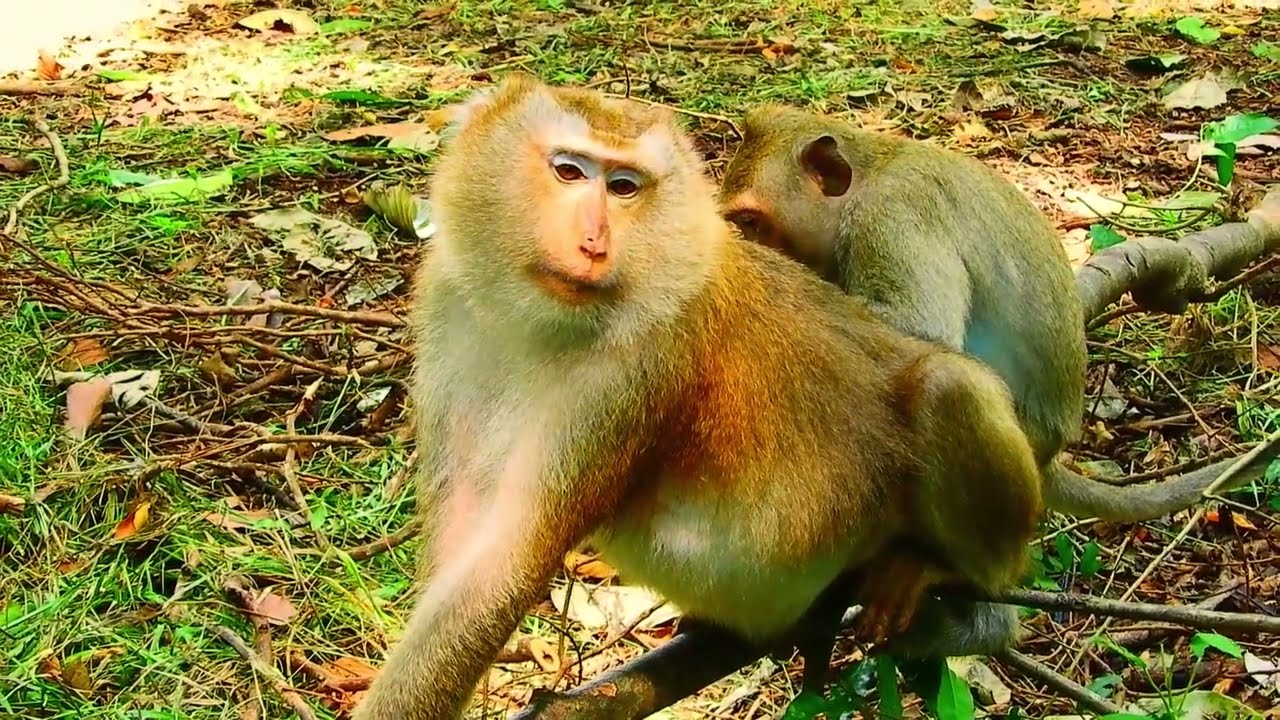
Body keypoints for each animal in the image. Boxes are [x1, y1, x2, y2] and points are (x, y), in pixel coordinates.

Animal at [350, 74, 1048, 720]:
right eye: (568, 170)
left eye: (624, 187)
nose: (594, 242)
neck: (536, 320)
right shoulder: (450, 307)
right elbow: (463, 533)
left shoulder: (635, 368)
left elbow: (501, 563)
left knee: (947, 388)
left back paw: (953, 582)